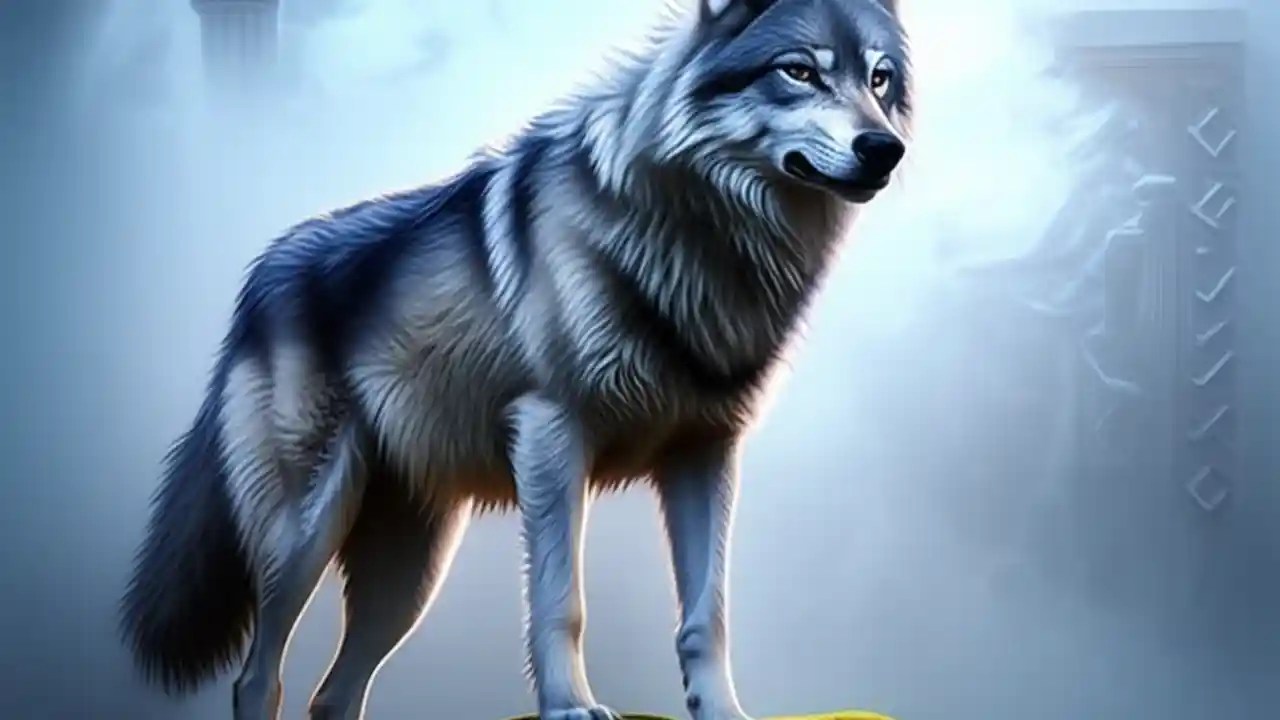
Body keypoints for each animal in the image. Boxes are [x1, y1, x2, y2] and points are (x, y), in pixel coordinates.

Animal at [120, 1, 911, 718]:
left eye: (879, 79)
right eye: (800, 71)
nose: (885, 149)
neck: (703, 233)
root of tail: (258, 278)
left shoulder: (706, 451)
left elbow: (705, 617)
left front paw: (723, 712)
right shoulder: (552, 436)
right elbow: (562, 602)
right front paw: (571, 706)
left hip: (408, 578)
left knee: (332, 695)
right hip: (306, 535)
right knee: (259, 677)